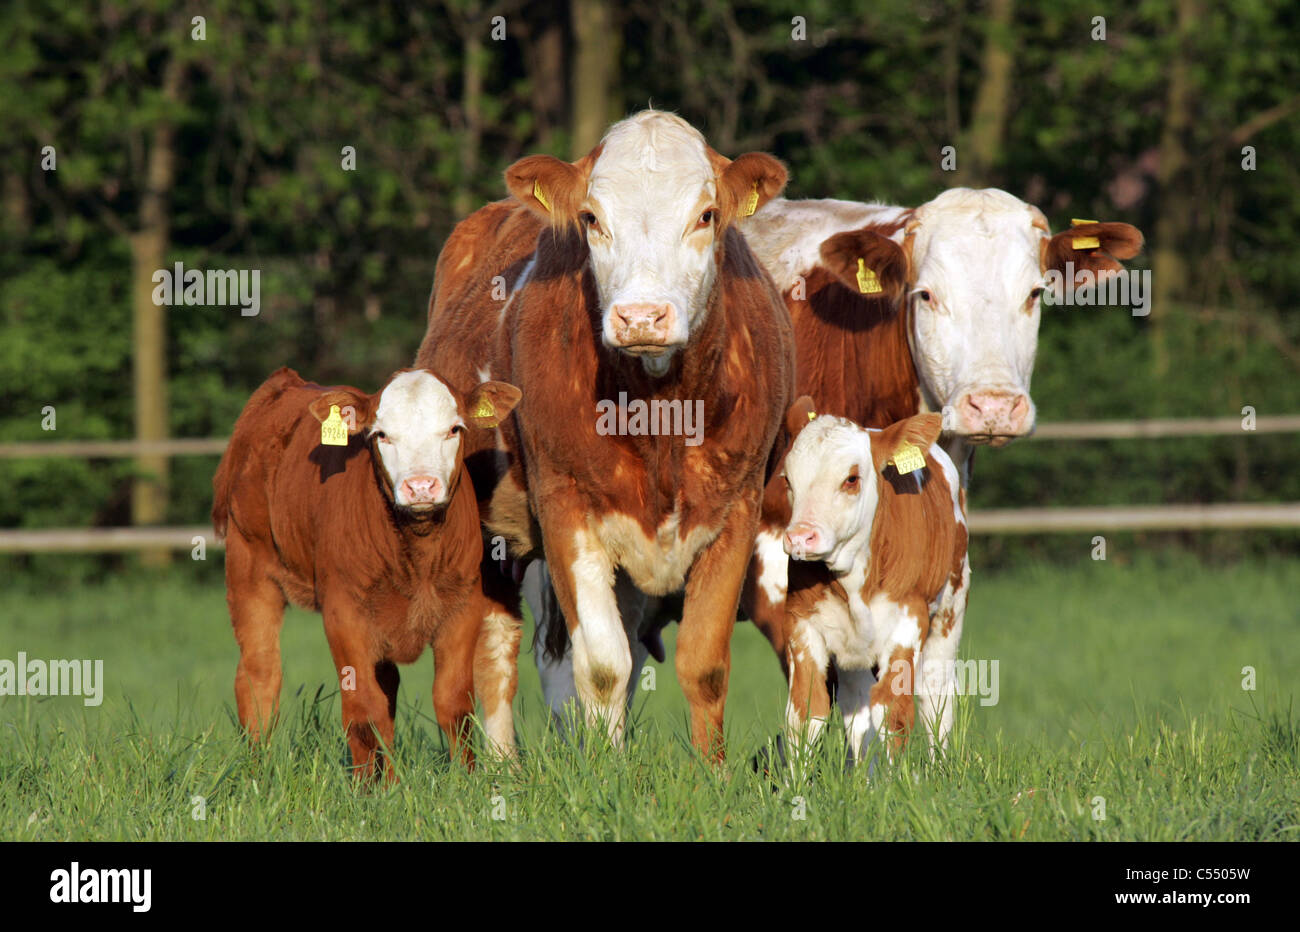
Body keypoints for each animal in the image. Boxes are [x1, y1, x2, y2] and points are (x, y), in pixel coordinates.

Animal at [212, 366, 521, 781]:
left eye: (454, 429)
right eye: (381, 434)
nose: (420, 486)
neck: (417, 555)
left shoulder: (464, 606)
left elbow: (452, 702)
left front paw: (464, 782)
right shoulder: (344, 615)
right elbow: (362, 709)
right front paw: (364, 790)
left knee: (386, 689)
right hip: (249, 569)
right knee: (259, 678)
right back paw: (258, 773)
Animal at [415, 109, 795, 760]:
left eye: (706, 215)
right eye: (592, 218)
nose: (641, 317)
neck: (661, 416)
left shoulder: (738, 506)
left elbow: (703, 664)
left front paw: (712, 772)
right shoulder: (565, 506)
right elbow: (600, 666)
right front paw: (604, 770)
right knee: (497, 652)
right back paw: (500, 766)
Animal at [779, 400, 968, 761]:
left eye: (851, 479)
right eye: (788, 480)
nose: (799, 537)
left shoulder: (908, 619)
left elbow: (893, 711)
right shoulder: (802, 622)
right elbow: (805, 711)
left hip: (951, 609)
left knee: (936, 693)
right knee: (858, 707)